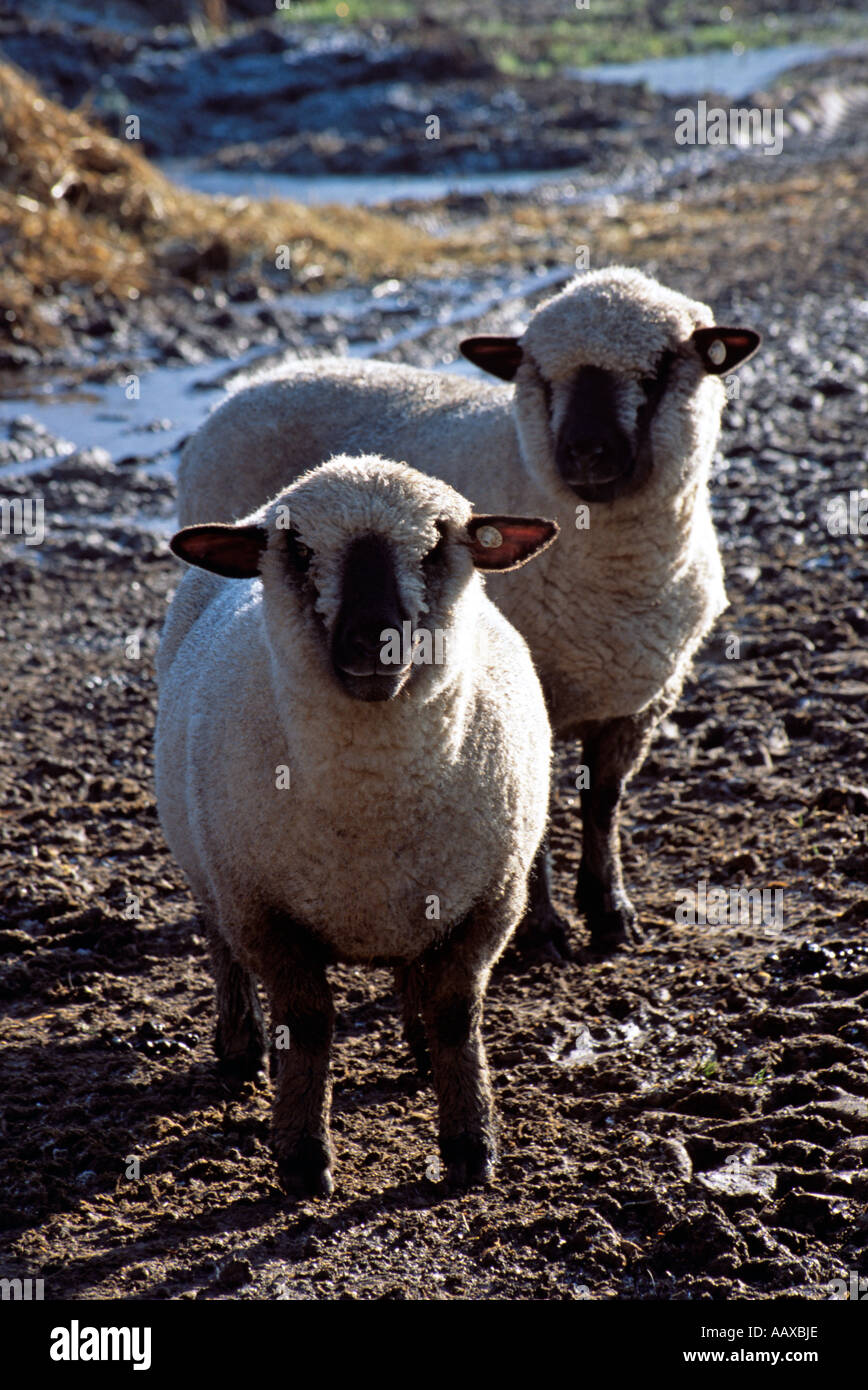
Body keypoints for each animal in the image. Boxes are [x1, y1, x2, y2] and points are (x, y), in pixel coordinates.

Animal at [155, 455, 558, 1195]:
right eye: (297, 548)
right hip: (206, 863)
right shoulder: (261, 908)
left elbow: (456, 1015)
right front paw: (302, 1157)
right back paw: (241, 1050)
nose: (376, 638)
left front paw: (471, 1144)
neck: (371, 799)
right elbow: (309, 1022)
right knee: (222, 948)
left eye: (438, 544)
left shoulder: (490, 901)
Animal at [176, 266, 760, 954]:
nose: (586, 451)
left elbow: (604, 804)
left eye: (665, 365)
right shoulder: (533, 693)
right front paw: (542, 927)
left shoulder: (641, 700)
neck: (613, 573)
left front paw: (611, 911)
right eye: (540, 373)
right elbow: (539, 818)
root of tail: (263, 379)